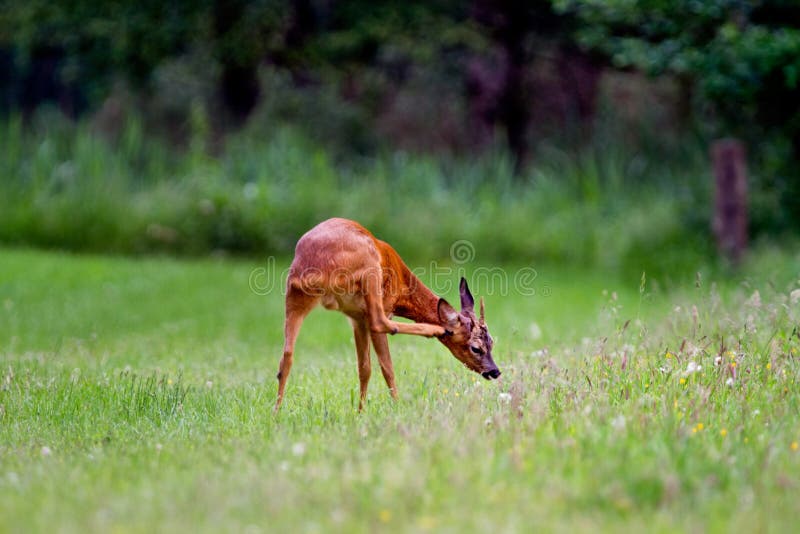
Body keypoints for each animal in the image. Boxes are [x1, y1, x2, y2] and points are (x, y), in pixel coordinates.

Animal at [275, 218, 500, 412]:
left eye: (492, 342)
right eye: (476, 348)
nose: (495, 371)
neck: (402, 287)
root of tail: (316, 268)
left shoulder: (355, 318)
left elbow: (364, 368)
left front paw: (360, 412)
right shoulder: (376, 309)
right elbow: (387, 366)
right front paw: (396, 407)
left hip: (294, 294)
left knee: (286, 356)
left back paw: (276, 413)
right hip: (370, 270)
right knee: (380, 322)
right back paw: (434, 329)